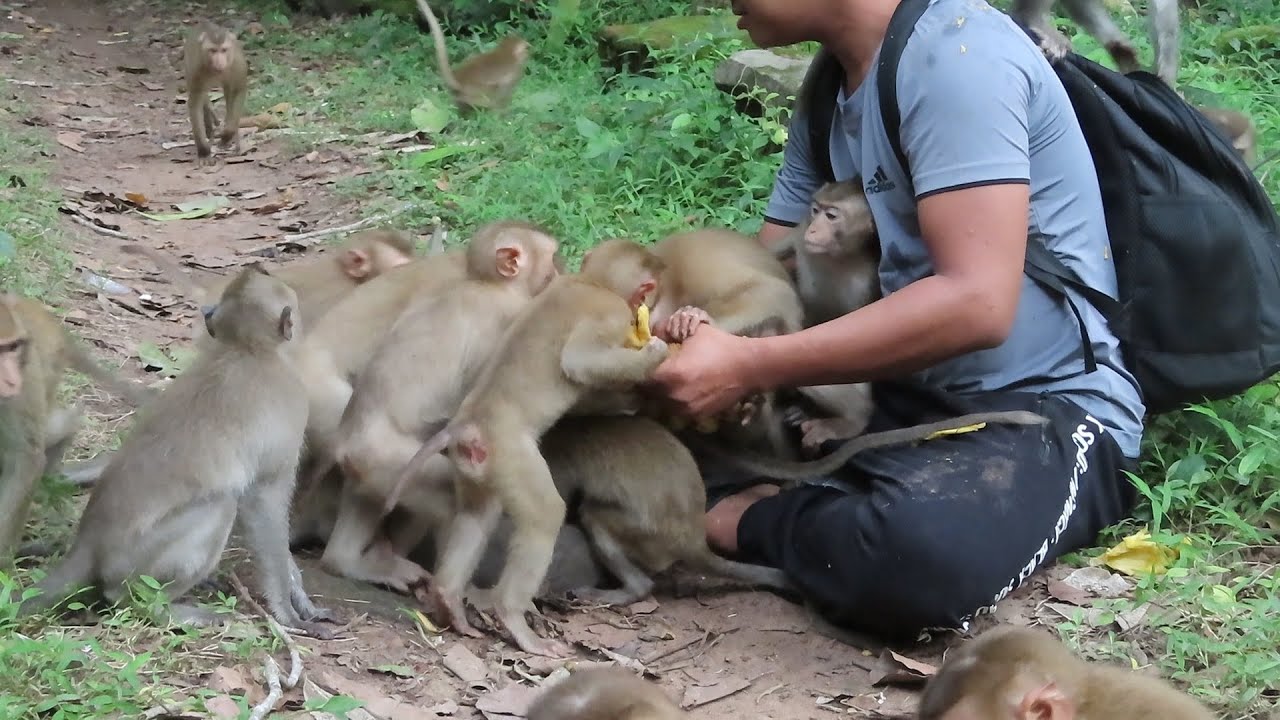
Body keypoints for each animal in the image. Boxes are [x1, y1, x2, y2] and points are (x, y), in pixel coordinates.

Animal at [19, 266, 337, 636]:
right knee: (221, 505)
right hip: (136, 557)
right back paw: (154, 606)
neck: (250, 350)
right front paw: (287, 611)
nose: (206, 312)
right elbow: (262, 501)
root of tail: (87, 543)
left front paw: (302, 600)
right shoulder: (290, 410)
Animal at [183, 23, 249, 166]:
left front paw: (227, 134)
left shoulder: (237, 64)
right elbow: (195, 104)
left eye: (224, 50)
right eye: (213, 51)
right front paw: (204, 153)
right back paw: (209, 125)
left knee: (229, 93)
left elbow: (239, 90)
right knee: (203, 99)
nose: (219, 62)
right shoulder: (197, 69)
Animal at [317, 221, 561, 592]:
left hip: (366, 469)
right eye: (552, 262)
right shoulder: (506, 319)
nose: (562, 271)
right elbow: (478, 401)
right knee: (449, 496)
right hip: (385, 460)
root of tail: (344, 447)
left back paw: (344, 561)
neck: (486, 285)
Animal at [386, 237, 672, 657]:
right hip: (512, 454)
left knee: (476, 515)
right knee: (544, 516)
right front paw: (654, 353)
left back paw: (448, 597)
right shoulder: (609, 314)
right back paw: (513, 618)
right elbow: (579, 363)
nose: (654, 307)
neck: (591, 281)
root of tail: (469, 425)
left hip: (477, 464)